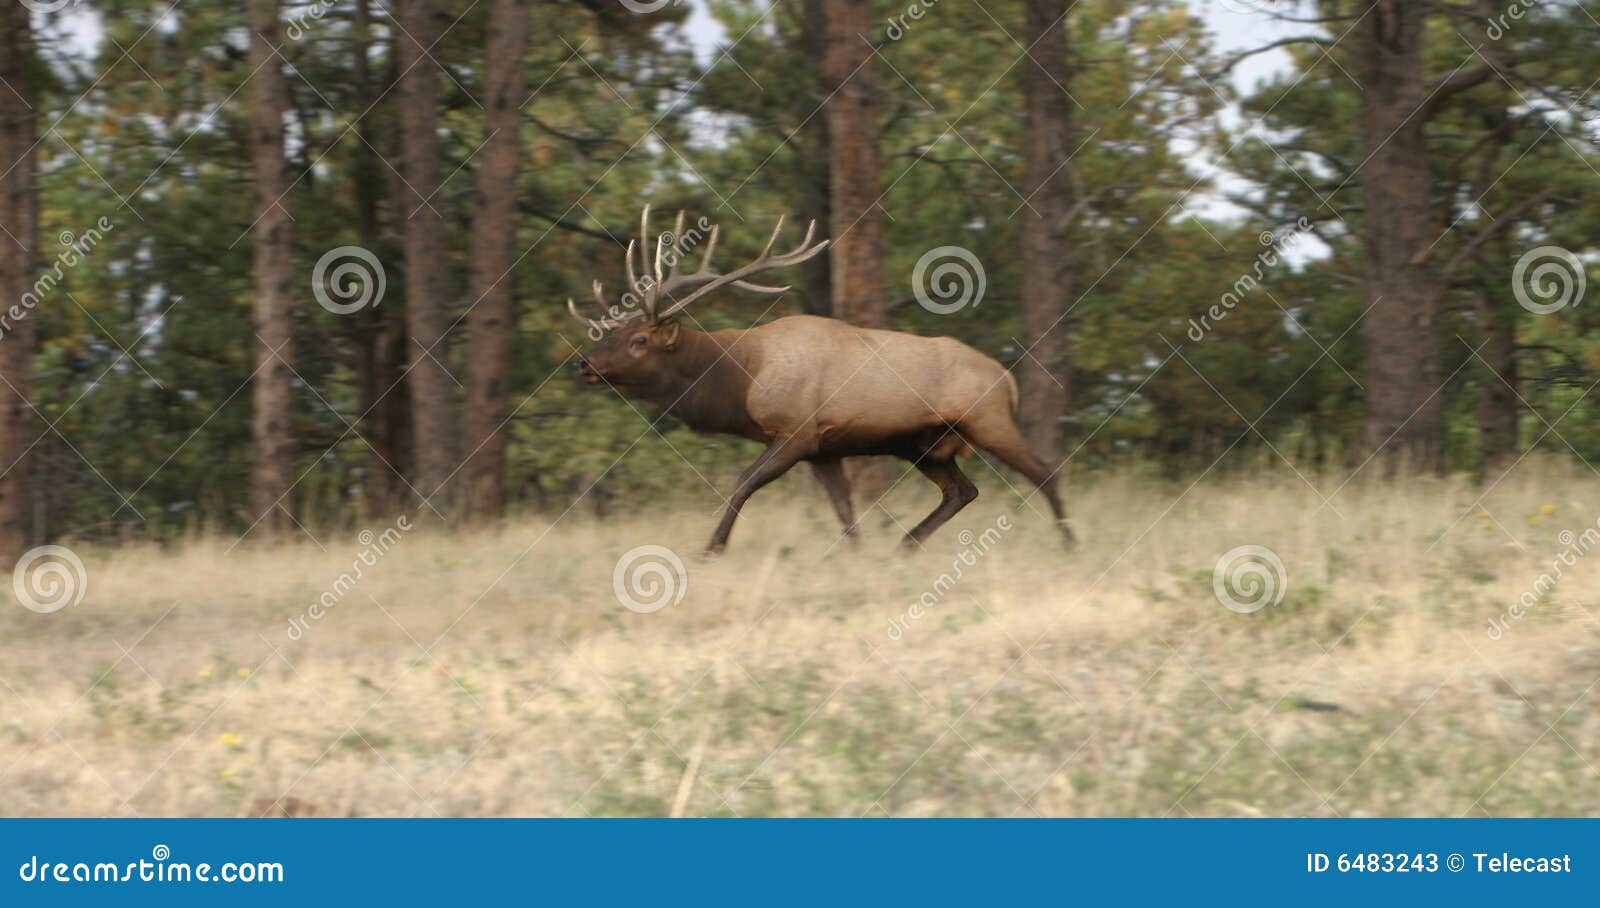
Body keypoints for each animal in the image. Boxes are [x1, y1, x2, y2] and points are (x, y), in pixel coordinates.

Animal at [569, 206, 1075, 556]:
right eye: (615, 332)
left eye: (639, 340)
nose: (584, 362)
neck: (742, 380)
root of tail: (1007, 378)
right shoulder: (823, 450)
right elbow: (845, 510)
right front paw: (855, 553)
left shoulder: (795, 430)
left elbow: (743, 482)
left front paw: (712, 548)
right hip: (924, 445)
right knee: (962, 490)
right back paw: (905, 546)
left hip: (988, 420)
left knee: (1046, 471)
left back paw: (1068, 542)